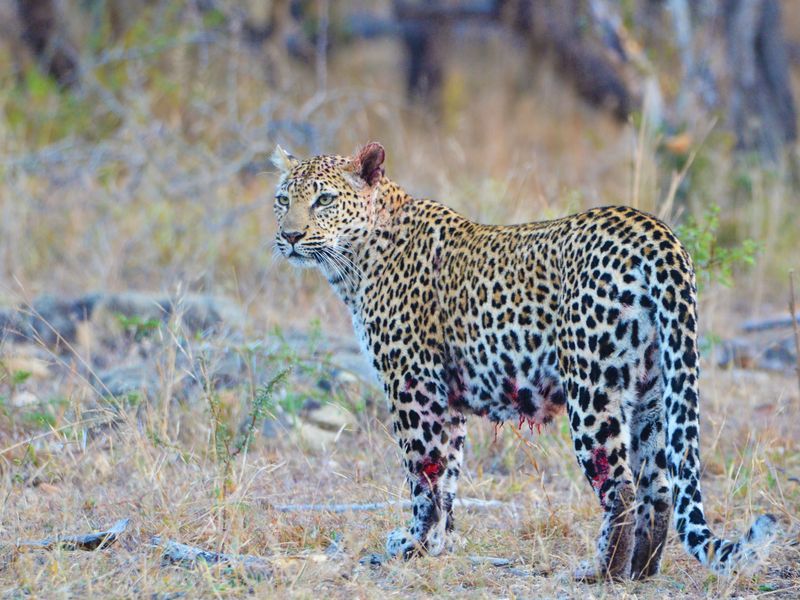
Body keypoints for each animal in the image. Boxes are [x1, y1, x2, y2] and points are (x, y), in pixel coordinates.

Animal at [271, 141, 777, 580]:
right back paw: (641, 571)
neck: (356, 261)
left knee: (621, 487)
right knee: (659, 485)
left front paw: (413, 545)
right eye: (282, 199)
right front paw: (439, 546)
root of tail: (653, 232)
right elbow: (448, 477)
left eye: (324, 199)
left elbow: (423, 477)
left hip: (591, 388)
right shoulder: (447, 399)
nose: (290, 236)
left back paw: (601, 573)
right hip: (651, 388)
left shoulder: (413, 386)